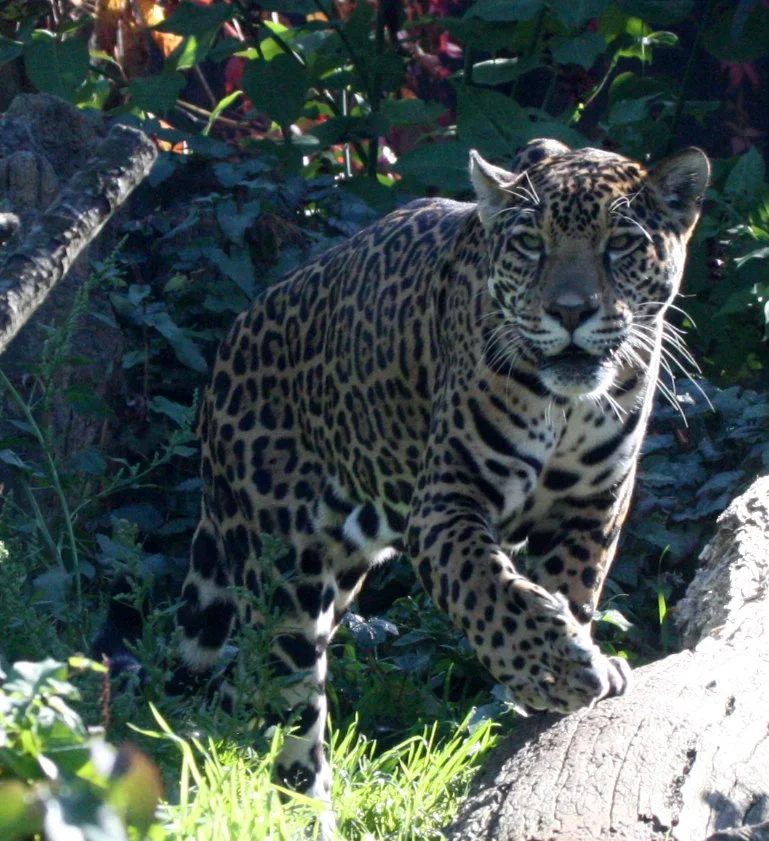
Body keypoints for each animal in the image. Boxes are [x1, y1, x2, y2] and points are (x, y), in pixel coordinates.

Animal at [172, 137, 709, 825]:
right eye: (530, 242)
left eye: (620, 243)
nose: (569, 311)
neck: (568, 407)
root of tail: (224, 359)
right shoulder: (446, 505)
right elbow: (491, 591)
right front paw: (557, 670)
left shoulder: (595, 502)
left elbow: (573, 585)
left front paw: (566, 660)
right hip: (282, 576)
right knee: (286, 705)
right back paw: (309, 812)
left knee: (242, 690)